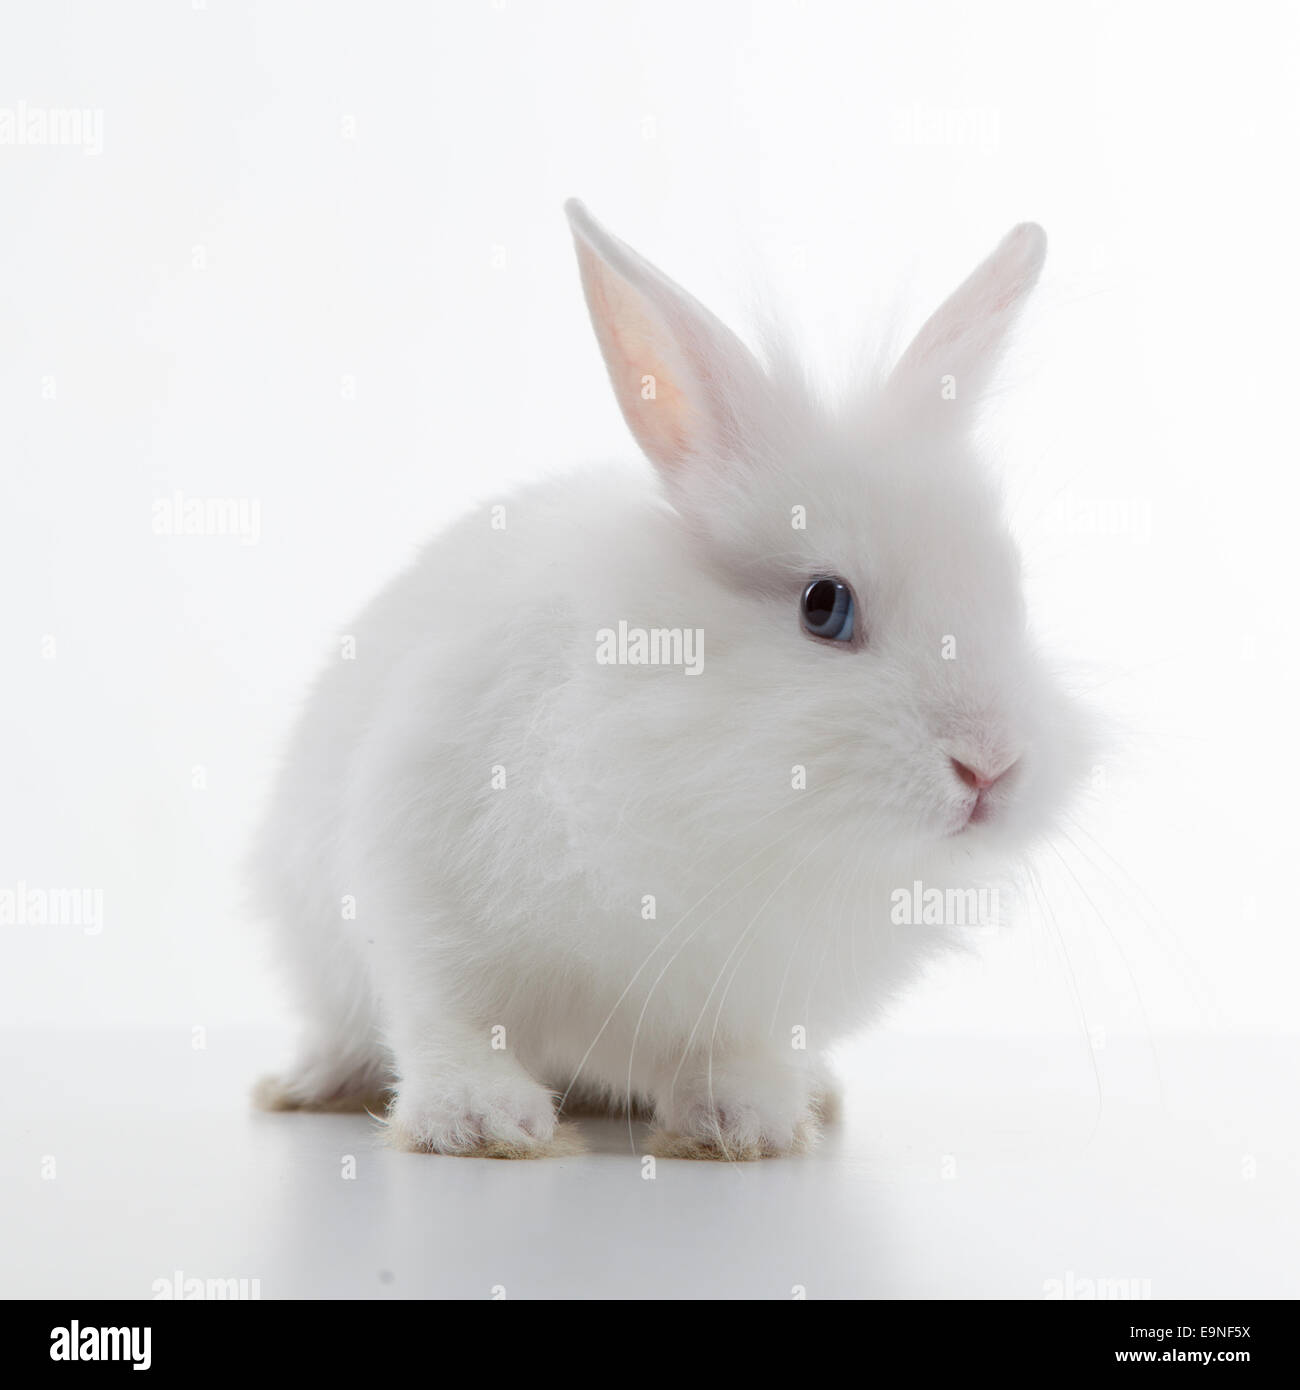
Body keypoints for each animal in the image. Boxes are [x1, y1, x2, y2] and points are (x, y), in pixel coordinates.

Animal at [250, 199, 1090, 1160]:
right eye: (825, 605)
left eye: (1011, 591)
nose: (991, 767)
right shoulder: (414, 873)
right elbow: (447, 1015)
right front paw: (480, 1120)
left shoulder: (758, 995)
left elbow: (732, 1051)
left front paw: (743, 1124)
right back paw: (313, 1084)